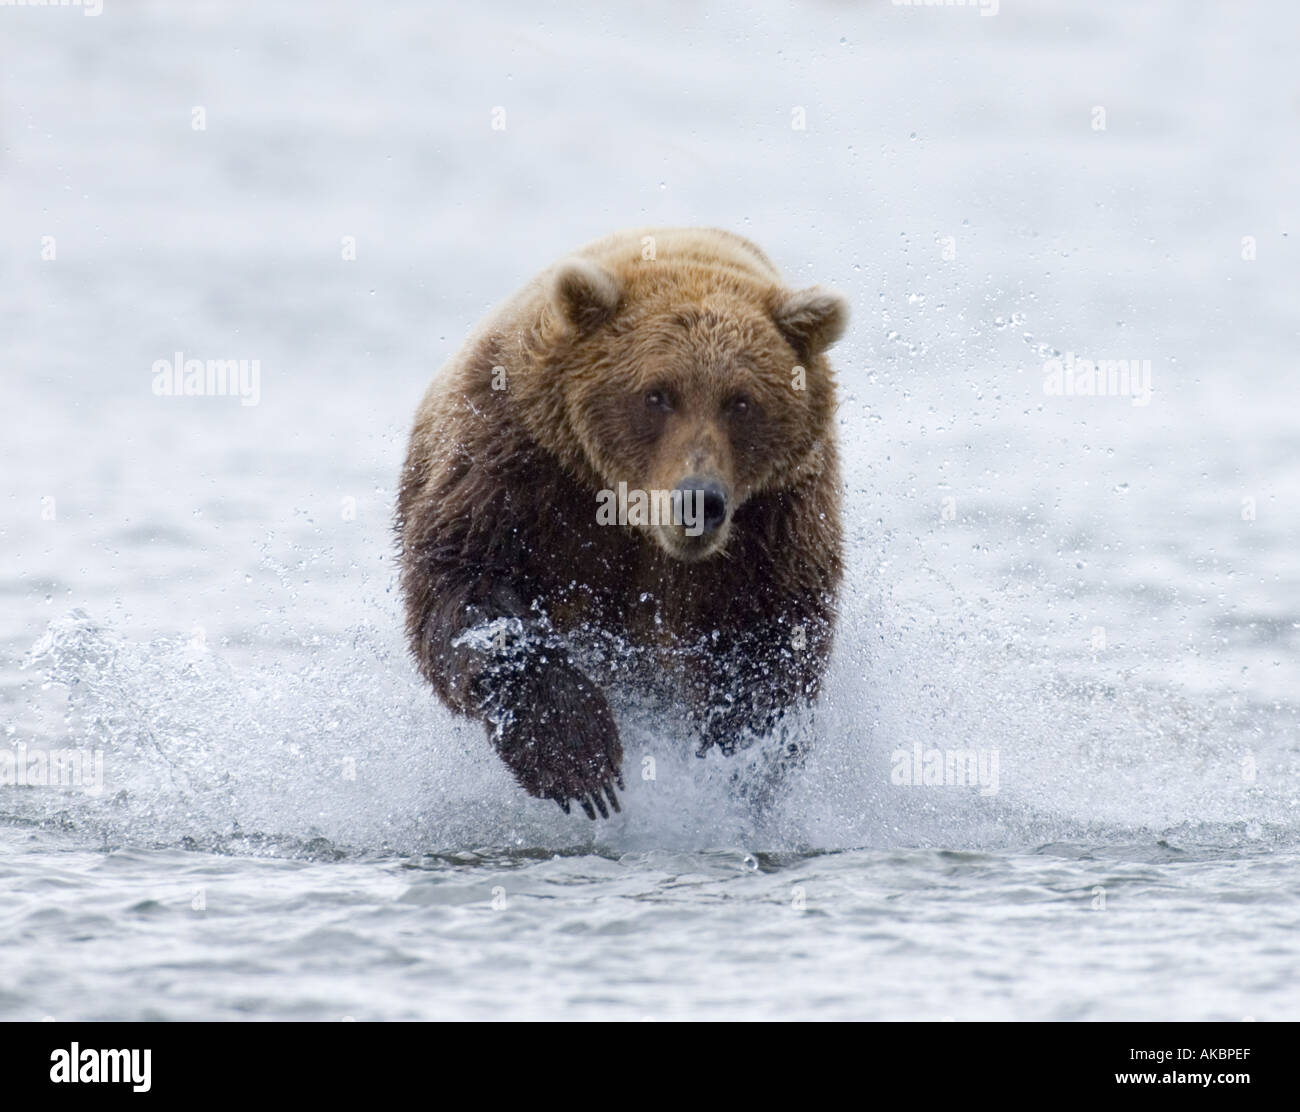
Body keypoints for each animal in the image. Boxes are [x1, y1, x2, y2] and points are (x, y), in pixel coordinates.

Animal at [396, 227, 848, 819]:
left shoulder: (777, 520)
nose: (698, 500)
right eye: (656, 393)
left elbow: (770, 639)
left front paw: (738, 760)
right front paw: (576, 754)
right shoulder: (516, 465)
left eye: (741, 401)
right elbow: (466, 585)